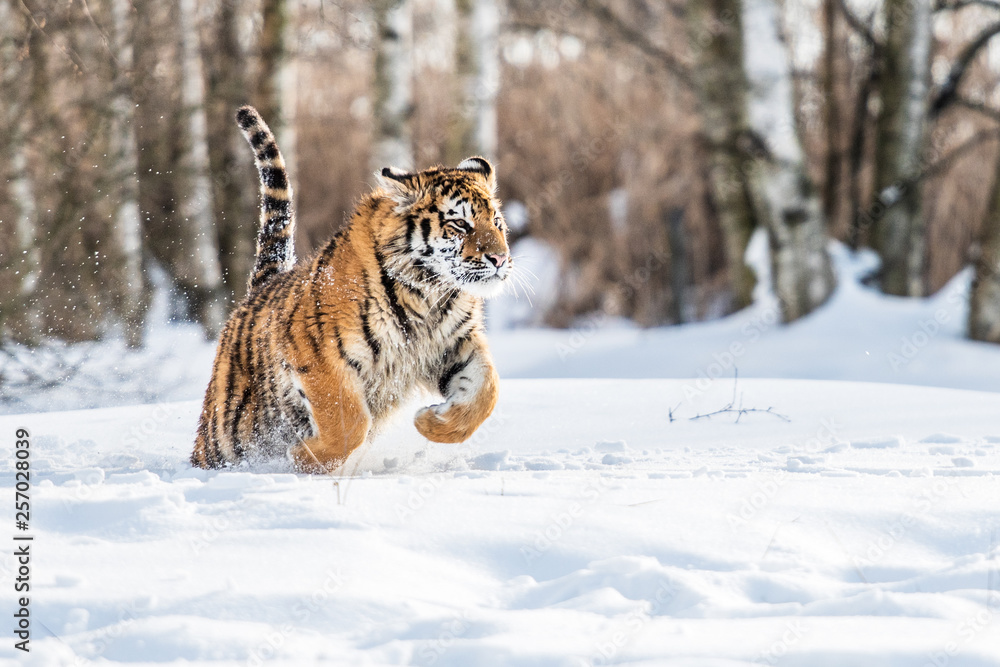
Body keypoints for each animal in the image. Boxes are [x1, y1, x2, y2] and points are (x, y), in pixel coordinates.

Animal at [190, 105, 512, 473]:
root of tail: (262, 286)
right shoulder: (319, 355)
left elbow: (486, 391)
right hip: (227, 436)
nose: (500, 258)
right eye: (460, 224)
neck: (429, 294)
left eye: (496, 222)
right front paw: (303, 458)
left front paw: (431, 422)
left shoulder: (452, 345)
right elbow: (350, 420)